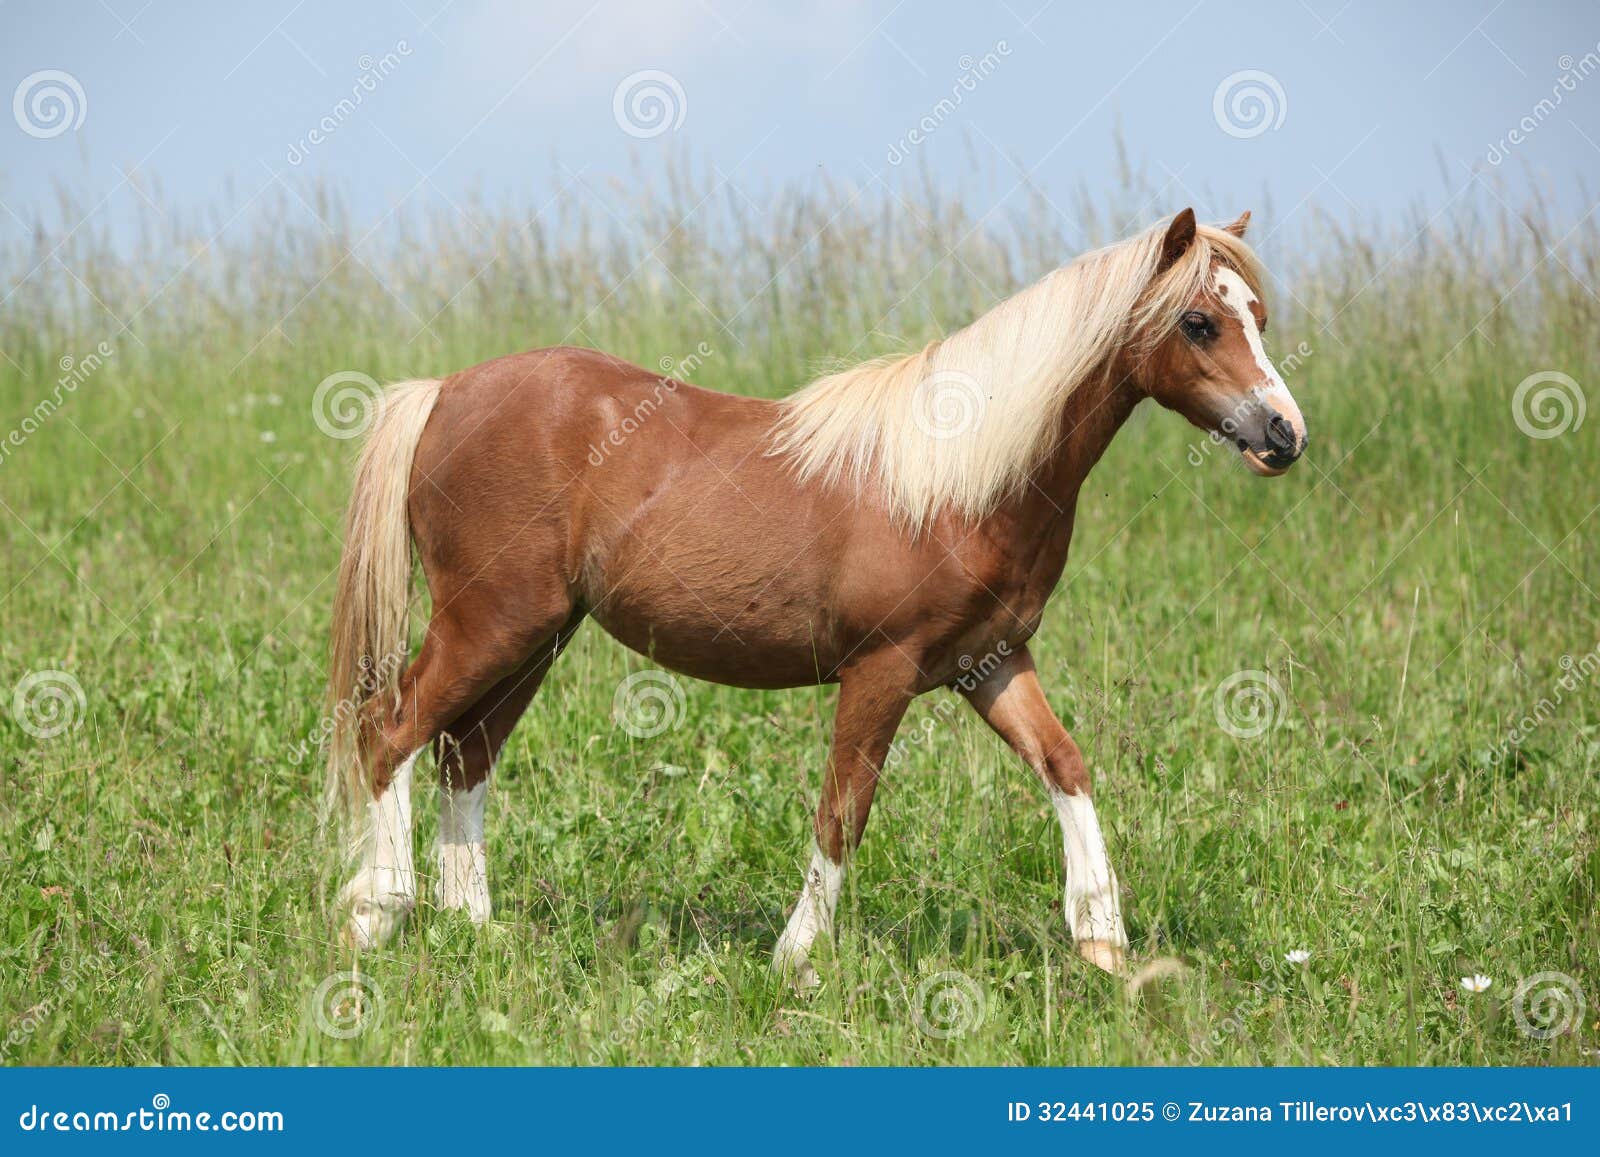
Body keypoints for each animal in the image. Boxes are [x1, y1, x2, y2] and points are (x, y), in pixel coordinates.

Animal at [323, 207, 1307, 984]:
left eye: (1256, 315)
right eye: (1198, 321)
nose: (1284, 434)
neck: (963, 477)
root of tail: (444, 391)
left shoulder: (990, 663)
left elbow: (1065, 763)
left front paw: (1101, 937)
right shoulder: (882, 671)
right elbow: (844, 810)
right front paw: (797, 955)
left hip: (536, 635)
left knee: (463, 755)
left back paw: (473, 930)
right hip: (491, 623)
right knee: (390, 731)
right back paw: (377, 913)